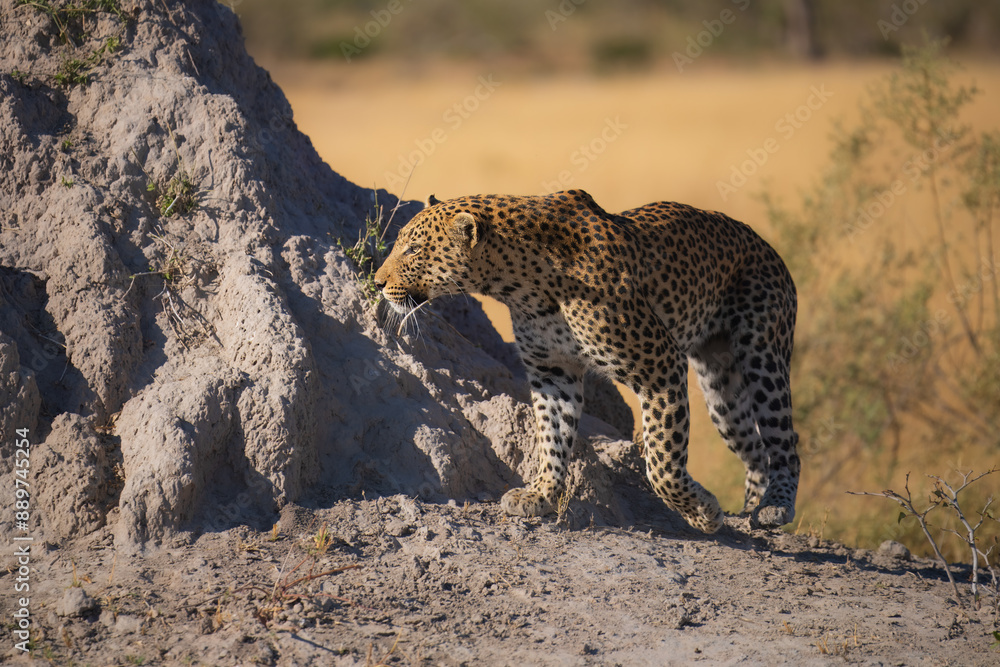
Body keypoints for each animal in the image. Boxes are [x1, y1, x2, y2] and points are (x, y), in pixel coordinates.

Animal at [373, 189, 800, 533]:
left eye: (413, 250)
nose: (377, 282)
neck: (518, 284)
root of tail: (766, 244)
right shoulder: (552, 372)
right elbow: (552, 436)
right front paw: (542, 494)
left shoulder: (660, 366)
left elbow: (662, 463)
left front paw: (702, 513)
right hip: (721, 389)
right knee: (755, 450)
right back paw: (751, 509)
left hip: (764, 358)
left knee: (786, 439)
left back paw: (776, 506)